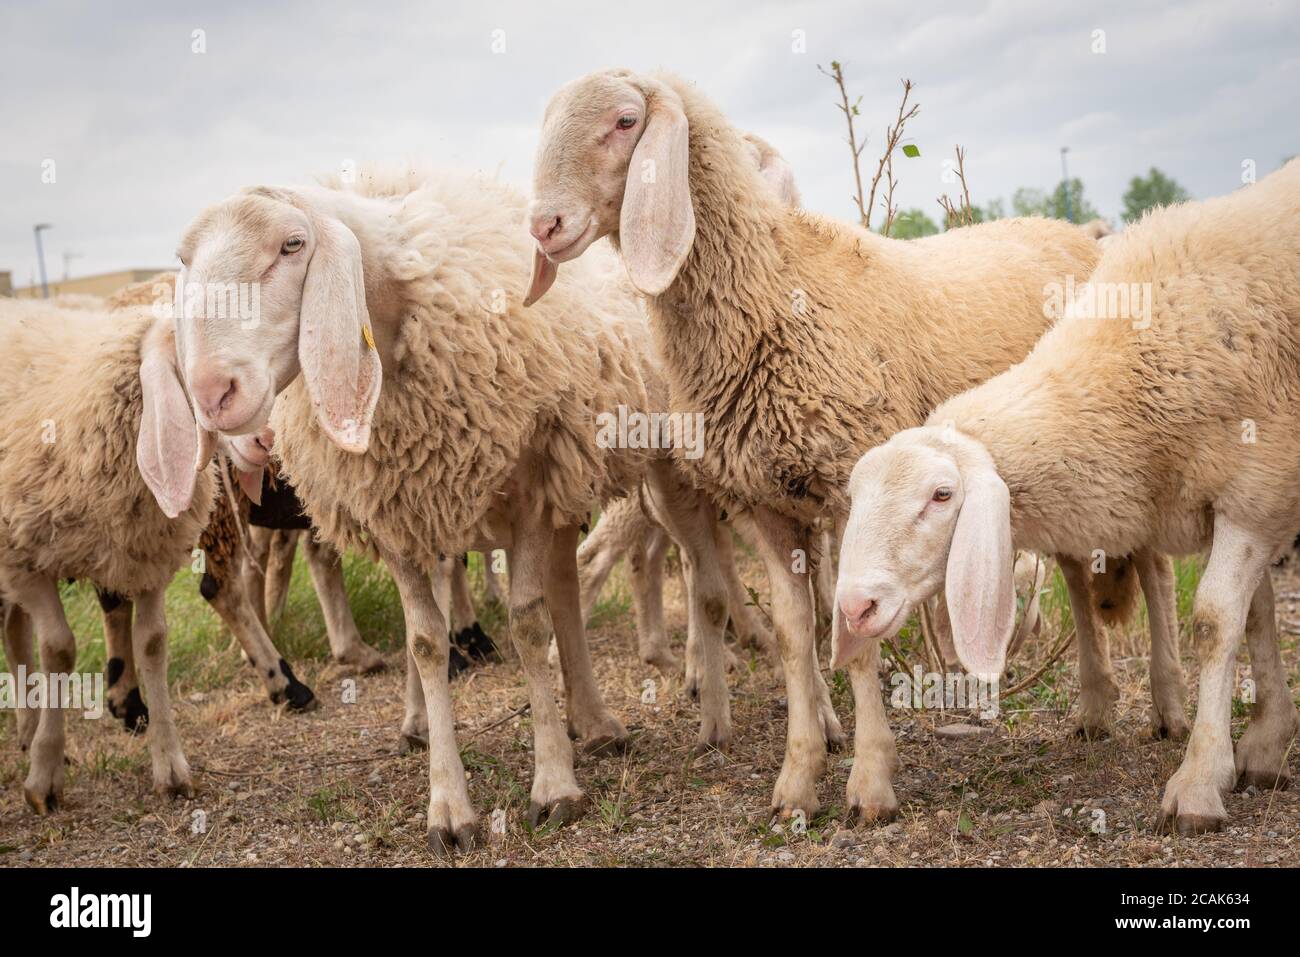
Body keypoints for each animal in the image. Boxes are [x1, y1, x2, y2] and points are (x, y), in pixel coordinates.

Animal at [0, 299, 216, 811]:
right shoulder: (27, 560)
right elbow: (58, 649)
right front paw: (45, 777)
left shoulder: (149, 557)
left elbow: (152, 644)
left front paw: (170, 766)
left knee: (13, 633)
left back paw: (26, 731)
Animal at [168, 164, 741, 856]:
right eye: (183, 261)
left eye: (291, 245)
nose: (211, 394)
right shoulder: (395, 513)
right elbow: (423, 642)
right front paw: (448, 805)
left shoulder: (528, 490)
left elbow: (528, 626)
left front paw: (554, 785)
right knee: (568, 584)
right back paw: (590, 720)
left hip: (650, 463)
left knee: (685, 572)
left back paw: (707, 712)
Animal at [524, 68, 1117, 820]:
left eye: (626, 121)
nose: (543, 225)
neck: (772, 288)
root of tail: (1073, 232)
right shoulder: (767, 501)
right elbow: (792, 634)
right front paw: (797, 780)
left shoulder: (848, 485)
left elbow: (851, 632)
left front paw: (868, 784)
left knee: (1077, 573)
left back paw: (1105, 706)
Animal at [834, 158, 1300, 834]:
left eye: (942, 495)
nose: (854, 607)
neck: (1131, 380)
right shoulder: (1249, 501)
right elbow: (1257, 616)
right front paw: (1265, 744)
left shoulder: (1255, 489)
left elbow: (1217, 622)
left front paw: (1200, 781)